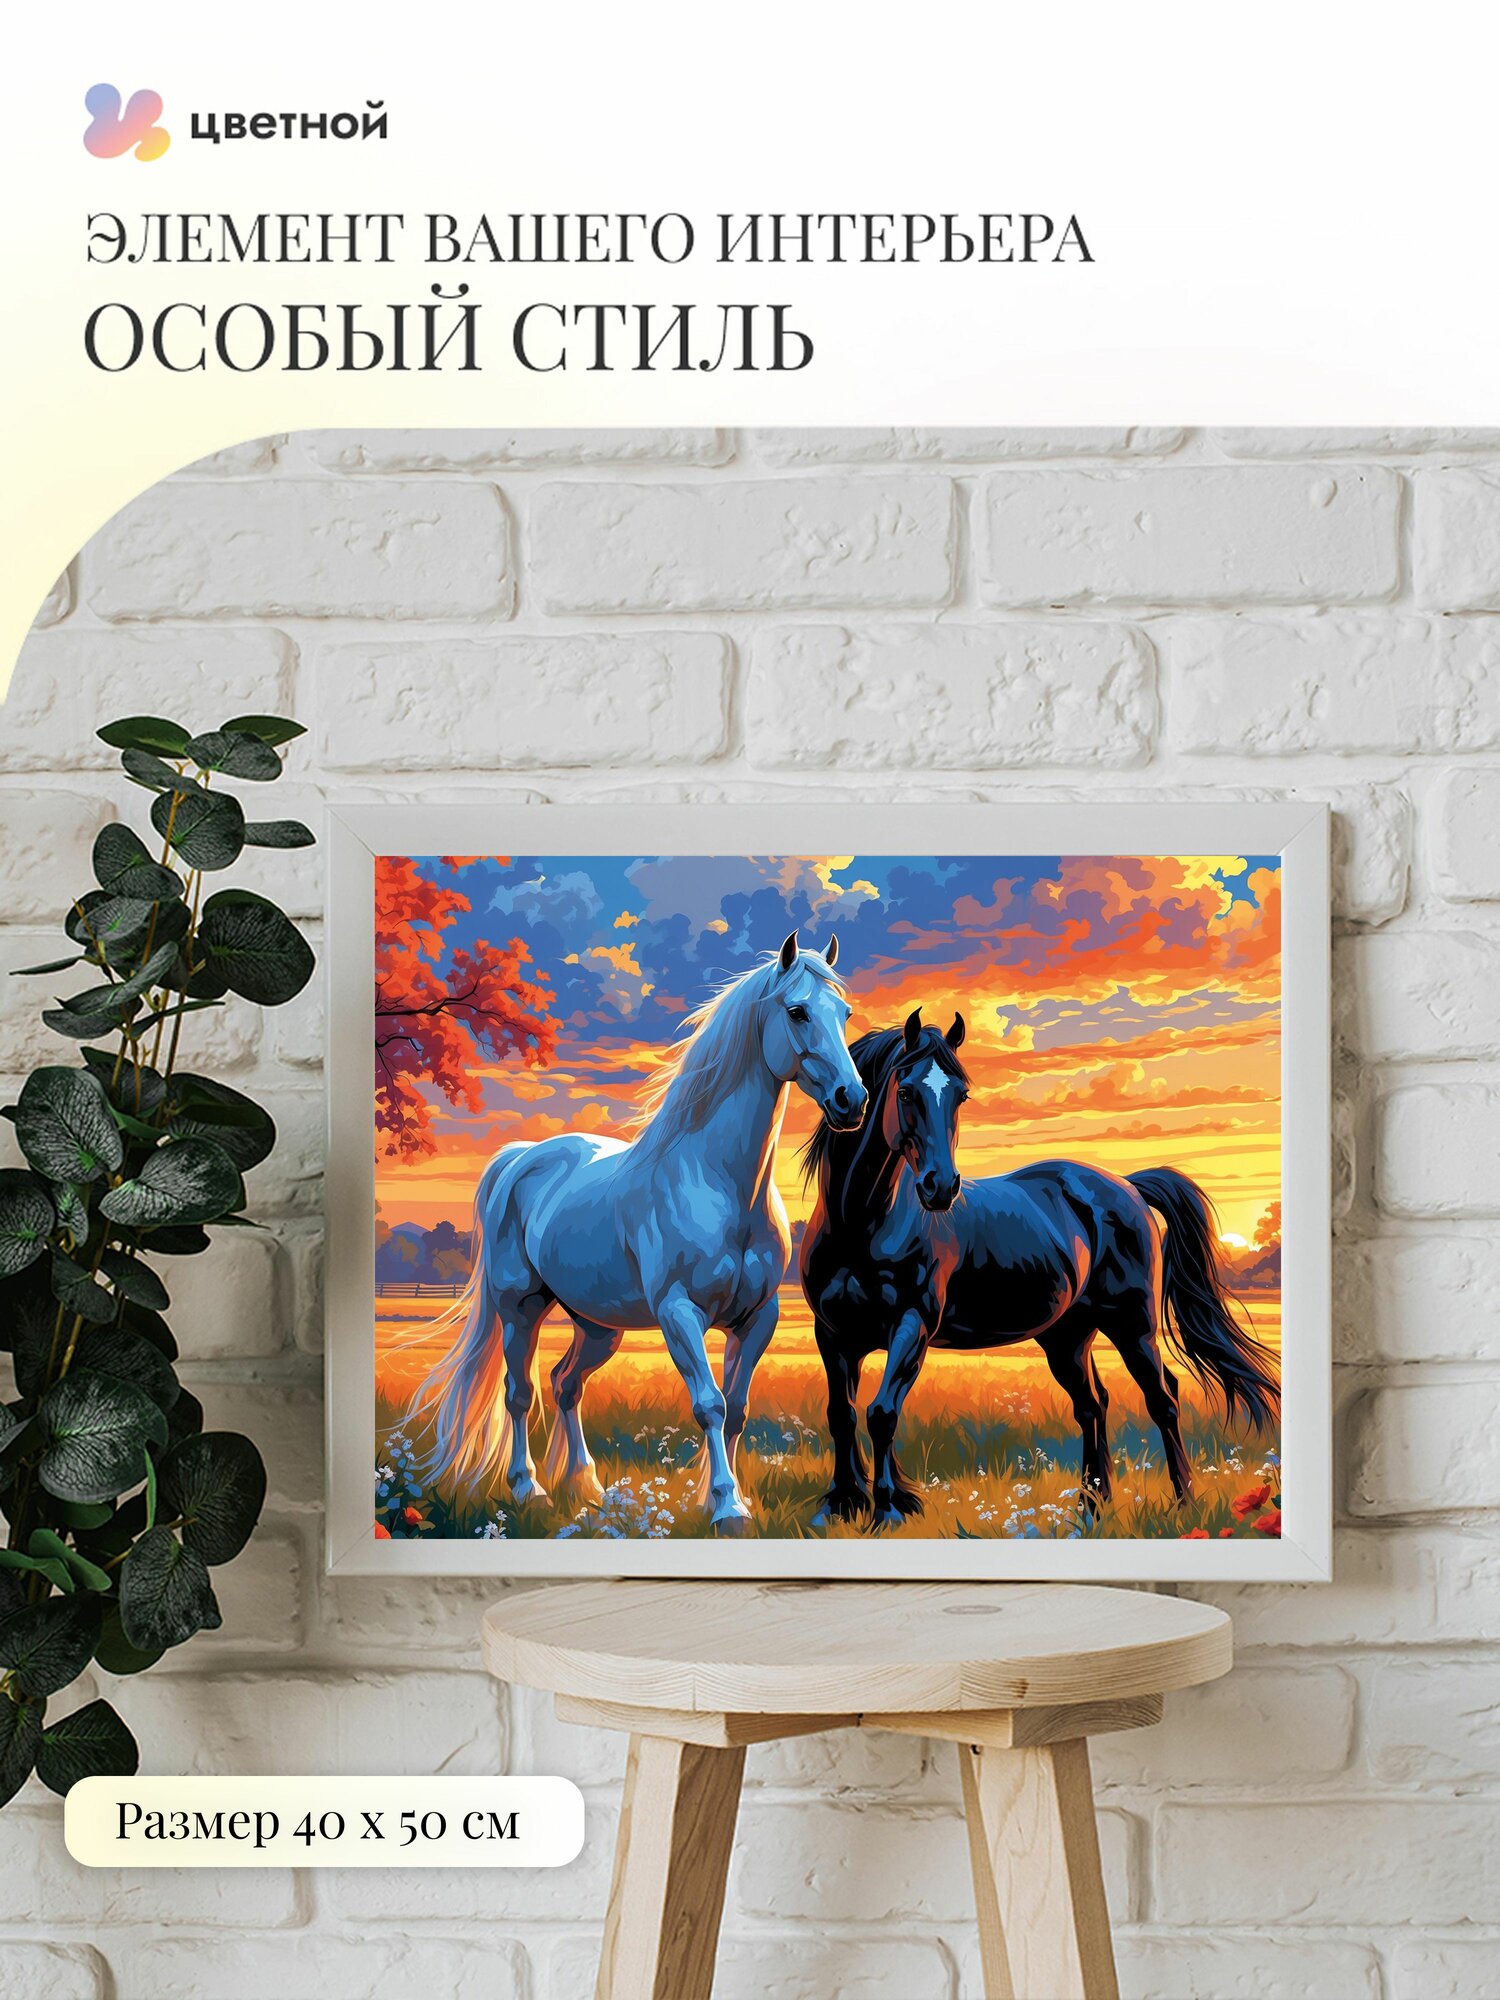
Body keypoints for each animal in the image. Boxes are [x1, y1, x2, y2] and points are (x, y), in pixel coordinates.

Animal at [405, 931, 867, 1533]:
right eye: (797, 1011)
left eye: (845, 1013)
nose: (851, 1100)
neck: (720, 1184)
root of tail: (521, 1158)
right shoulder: (679, 1313)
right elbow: (710, 1404)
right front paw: (725, 1506)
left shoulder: (756, 1318)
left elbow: (737, 1410)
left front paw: (729, 1500)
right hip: (520, 1308)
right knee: (519, 1393)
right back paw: (530, 1490)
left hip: (599, 1325)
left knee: (566, 1384)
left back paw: (587, 1486)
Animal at [799, 1009, 1280, 1531]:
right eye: (904, 1091)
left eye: (961, 1095)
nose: (940, 1187)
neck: (859, 1225)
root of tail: (1126, 1185)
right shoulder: (833, 1335)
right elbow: (841, 1414)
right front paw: (842, 1504)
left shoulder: (912, 1326)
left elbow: (882, 1413)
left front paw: (887, 1508)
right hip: (1067, 1335)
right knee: (1092, 1405)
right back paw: (1093, 1506)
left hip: (1133, 1326)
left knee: (1163, 1400)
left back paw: (1183, 1503)